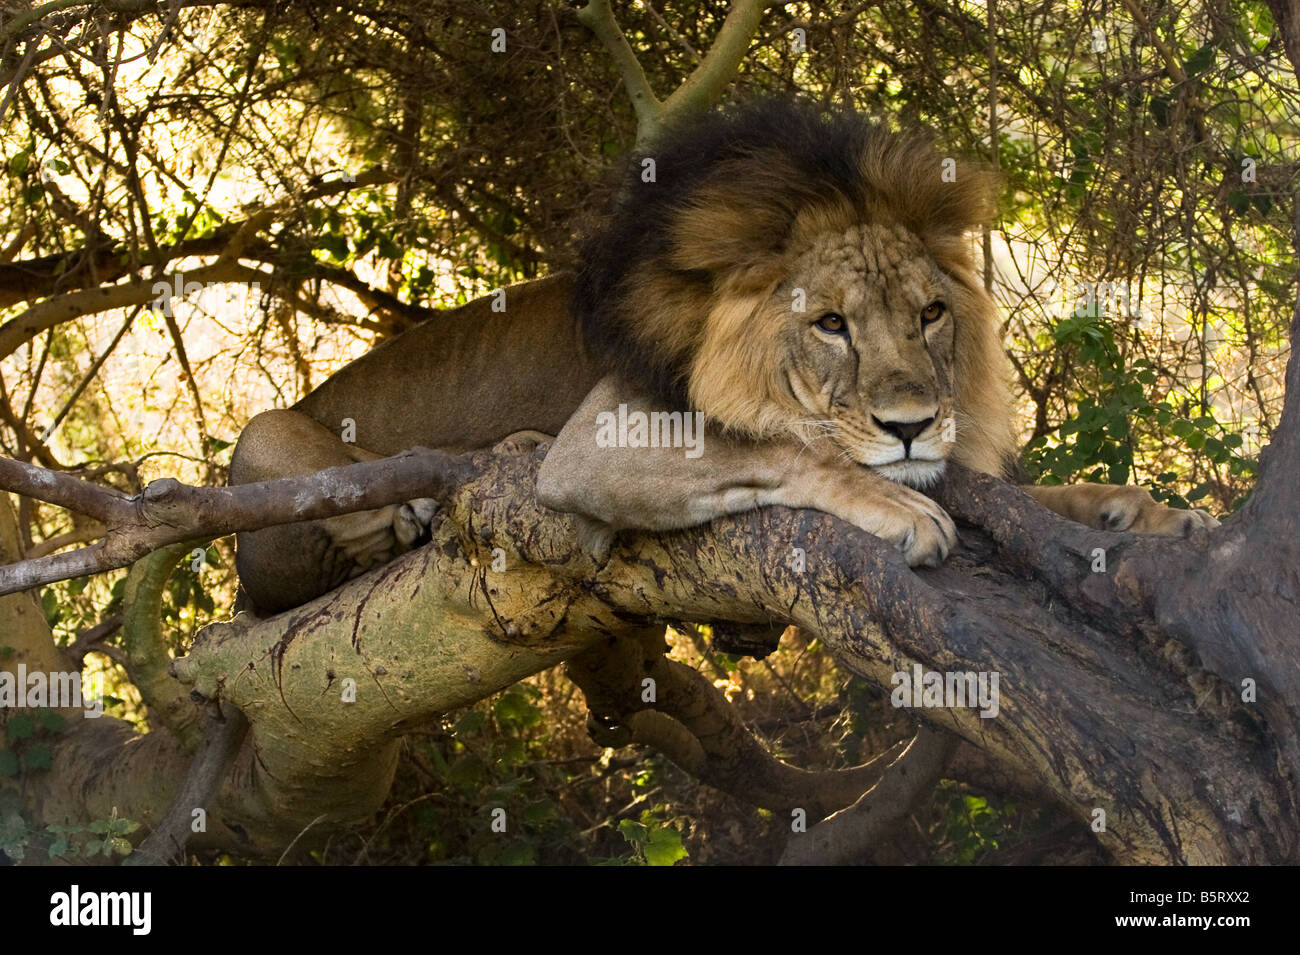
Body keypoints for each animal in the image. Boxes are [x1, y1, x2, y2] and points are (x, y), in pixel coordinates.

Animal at [230, 99, 1217, 615]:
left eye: (932, 314)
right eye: (832, 324)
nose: (911, 424)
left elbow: (1022, 495)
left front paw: (1140, 512)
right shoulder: (600, 439)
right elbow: (784, 445)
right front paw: (902, 508)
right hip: (268, 452)